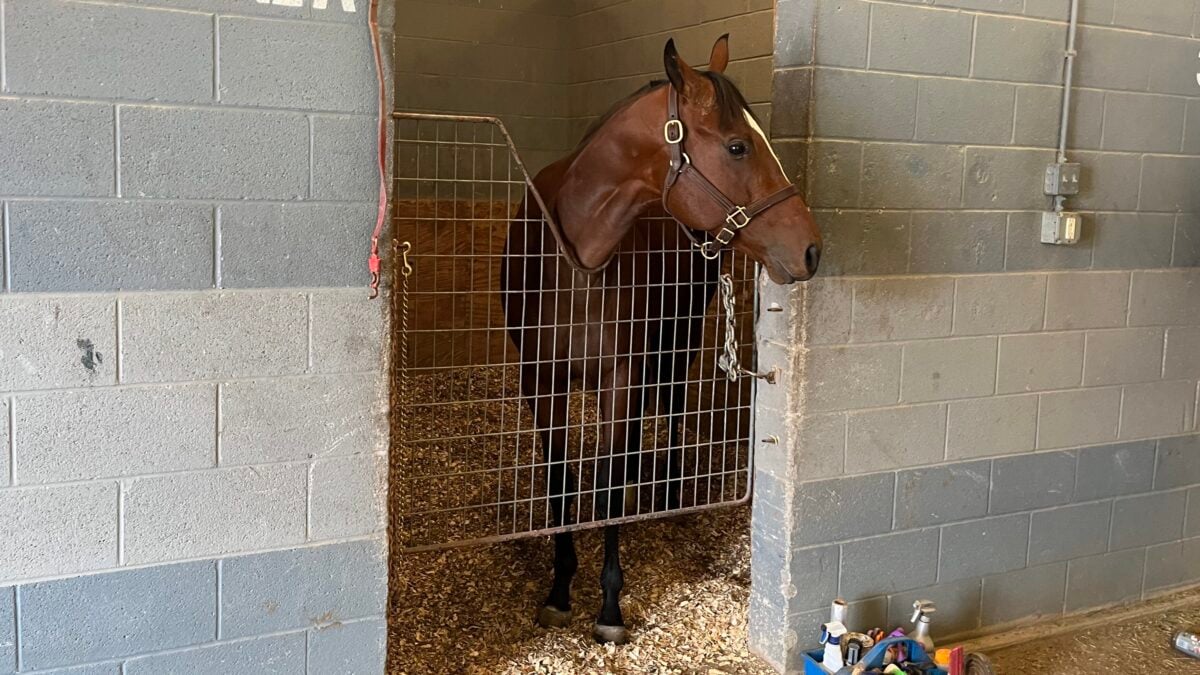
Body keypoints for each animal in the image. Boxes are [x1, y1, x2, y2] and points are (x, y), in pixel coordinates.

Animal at [500, 35, 822, 645]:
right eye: (738, 146)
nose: (811, 249)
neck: (577, 261)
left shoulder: (620, 378)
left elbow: (606, 487)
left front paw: (608, 605)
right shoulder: (541, 381)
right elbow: (561, 483)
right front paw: (559, 590)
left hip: (681, 337)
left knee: (671, 404)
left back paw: (669, 492)